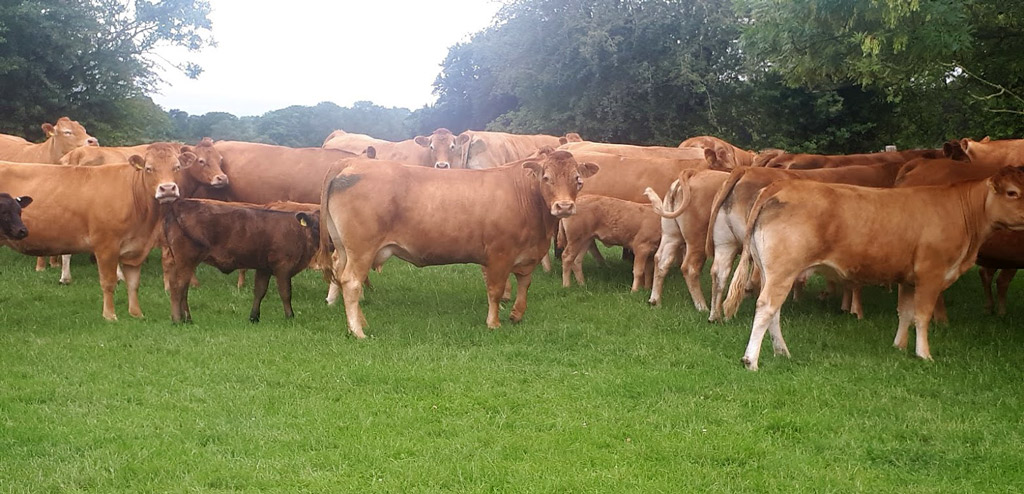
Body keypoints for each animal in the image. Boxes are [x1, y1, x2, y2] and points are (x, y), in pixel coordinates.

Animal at [0, 143, 192, 320]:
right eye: (149, 168)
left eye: (176, 167)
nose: (167, 188)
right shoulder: (106, 246)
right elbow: (108, 282)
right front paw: (110, 315)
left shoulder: (135, 248)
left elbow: (133, 284)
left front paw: (136, 314)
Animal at [162, 199, 320, 323]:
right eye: (315, 226)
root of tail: (180, 203)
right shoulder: (283, 266)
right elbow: (285, 293)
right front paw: (290, 316)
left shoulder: (263, 267)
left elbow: (259, 291)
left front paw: (254, 317)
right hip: (186, 259)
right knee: (177, 286)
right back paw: (178, 319)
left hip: (181, 261)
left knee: (182, 288)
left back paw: (187, 319)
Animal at [322, 151, 599, 338]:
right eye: (546, 178)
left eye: (577, 179)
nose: (564, 206)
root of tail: (351, 163)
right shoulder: (499, 255)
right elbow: (496, 290)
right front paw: (493, 323)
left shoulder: (527, 255)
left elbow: (523, 284)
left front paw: (517, 315)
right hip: (361, 249)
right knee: (352, 283)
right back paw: (358, 331)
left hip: (344, 249)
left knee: (342, 277)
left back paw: (360, 322)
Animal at [643, 168, 730, 309]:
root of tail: (693, 173)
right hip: (699, 239)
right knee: (689, 268)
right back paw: (702, 306)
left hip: (671, 235)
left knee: (661, 259)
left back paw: (655, 300)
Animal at [724, 167, 1024, 371]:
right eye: (1012, 193)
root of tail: (779, 186)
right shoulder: (931, 274)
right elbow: (922, 316)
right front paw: (924, 354)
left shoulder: (908, 279)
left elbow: (905, 313)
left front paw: (899, 346)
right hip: (782, 270)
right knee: (766, 307)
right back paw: (751, 360)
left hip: (773, 272)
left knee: (774, 311)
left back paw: (782, 352)